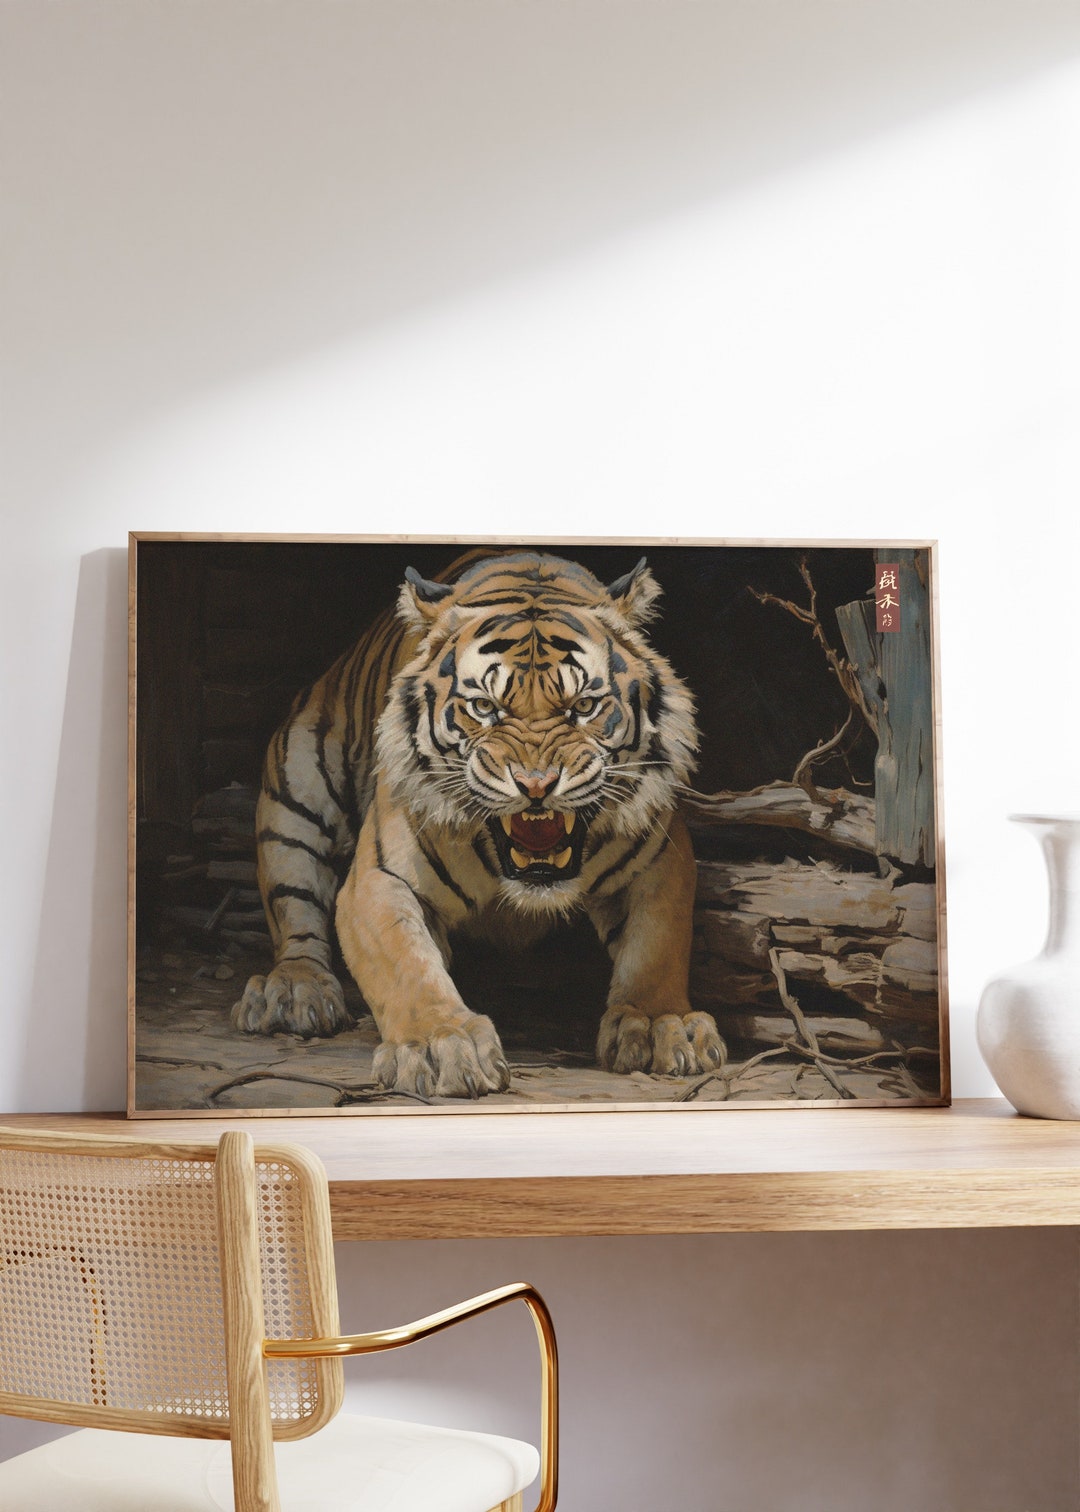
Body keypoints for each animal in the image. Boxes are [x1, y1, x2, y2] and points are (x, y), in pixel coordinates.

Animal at [232, 550, 725, 1099]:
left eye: (583, 706)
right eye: (485, 707)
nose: (536, 784)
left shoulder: (661, 861)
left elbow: (657, 946)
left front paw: (662, 1025)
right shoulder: (380, 879)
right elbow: (407, 964)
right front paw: (439, 1043)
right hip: (297, 785)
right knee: (295, 914)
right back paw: (295, 993)